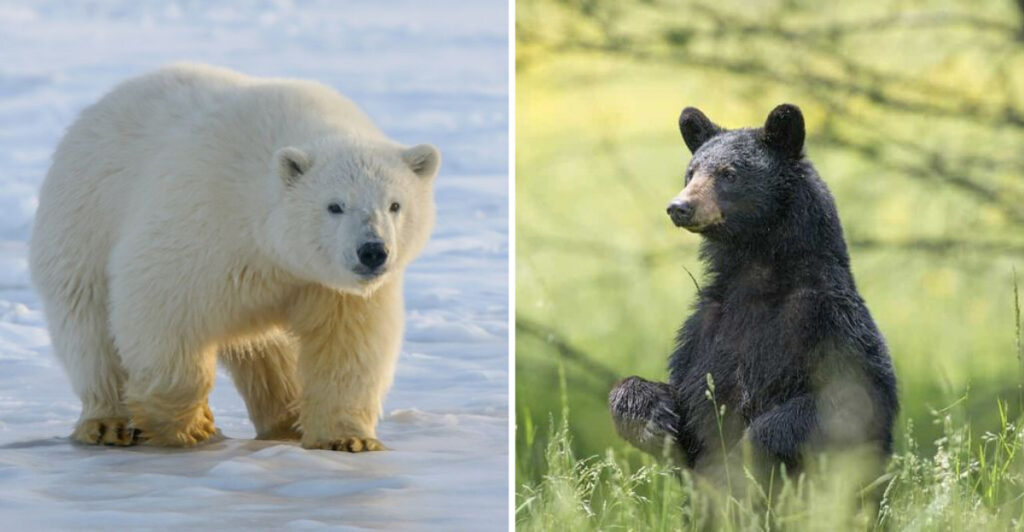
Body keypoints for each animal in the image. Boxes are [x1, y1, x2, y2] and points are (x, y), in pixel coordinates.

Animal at [28, 63, 440, 451]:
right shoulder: (203, 220)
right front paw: (191, 425)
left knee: (268, 352)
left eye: (395, 205)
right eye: (335, 205)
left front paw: (348, 439)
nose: (372, 251)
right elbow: (159, 305)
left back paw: (285, 420)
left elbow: (347, 345)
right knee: (89, 328)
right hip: (83, 221)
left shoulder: (325, 285)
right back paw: (107, 423)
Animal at [608, 104, 898, 474]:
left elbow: (849, 398)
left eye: (729, 173)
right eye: (690, 172)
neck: (756, 275)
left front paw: (744, 456)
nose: (679, 207)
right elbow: (688, 394)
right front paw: (652, 420)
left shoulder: (826, 318)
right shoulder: (704, 329)